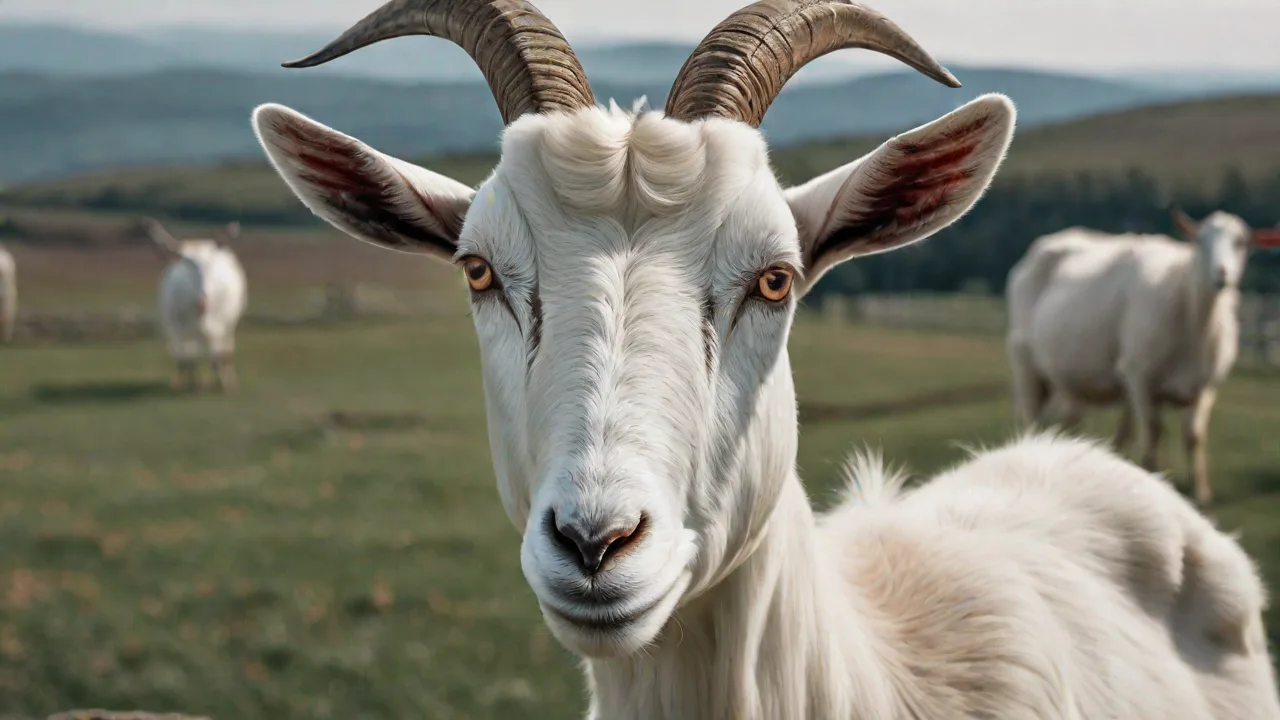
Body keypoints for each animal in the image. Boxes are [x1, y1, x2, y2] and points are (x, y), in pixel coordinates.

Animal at [144, 218, 247, 392]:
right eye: (185, 262)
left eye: (211, 264)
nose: (202, 302)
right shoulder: (174, 326)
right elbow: (185, 359)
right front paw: (185, 385)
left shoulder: (221, 325)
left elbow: (221, 356)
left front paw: (226, 385)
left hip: (227, 324)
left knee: (223, 352)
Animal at [1007, 211, 1280, 505]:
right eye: (1200, 241)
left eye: (1241, 243)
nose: (1222, 275)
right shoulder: (1138, 376)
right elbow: (1152, 431)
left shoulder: (1205, 386)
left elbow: (1194, 436)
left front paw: (1201, 492)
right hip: (1026, 364)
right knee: (1033, 420)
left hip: (1070, 381)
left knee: (1072, 423)